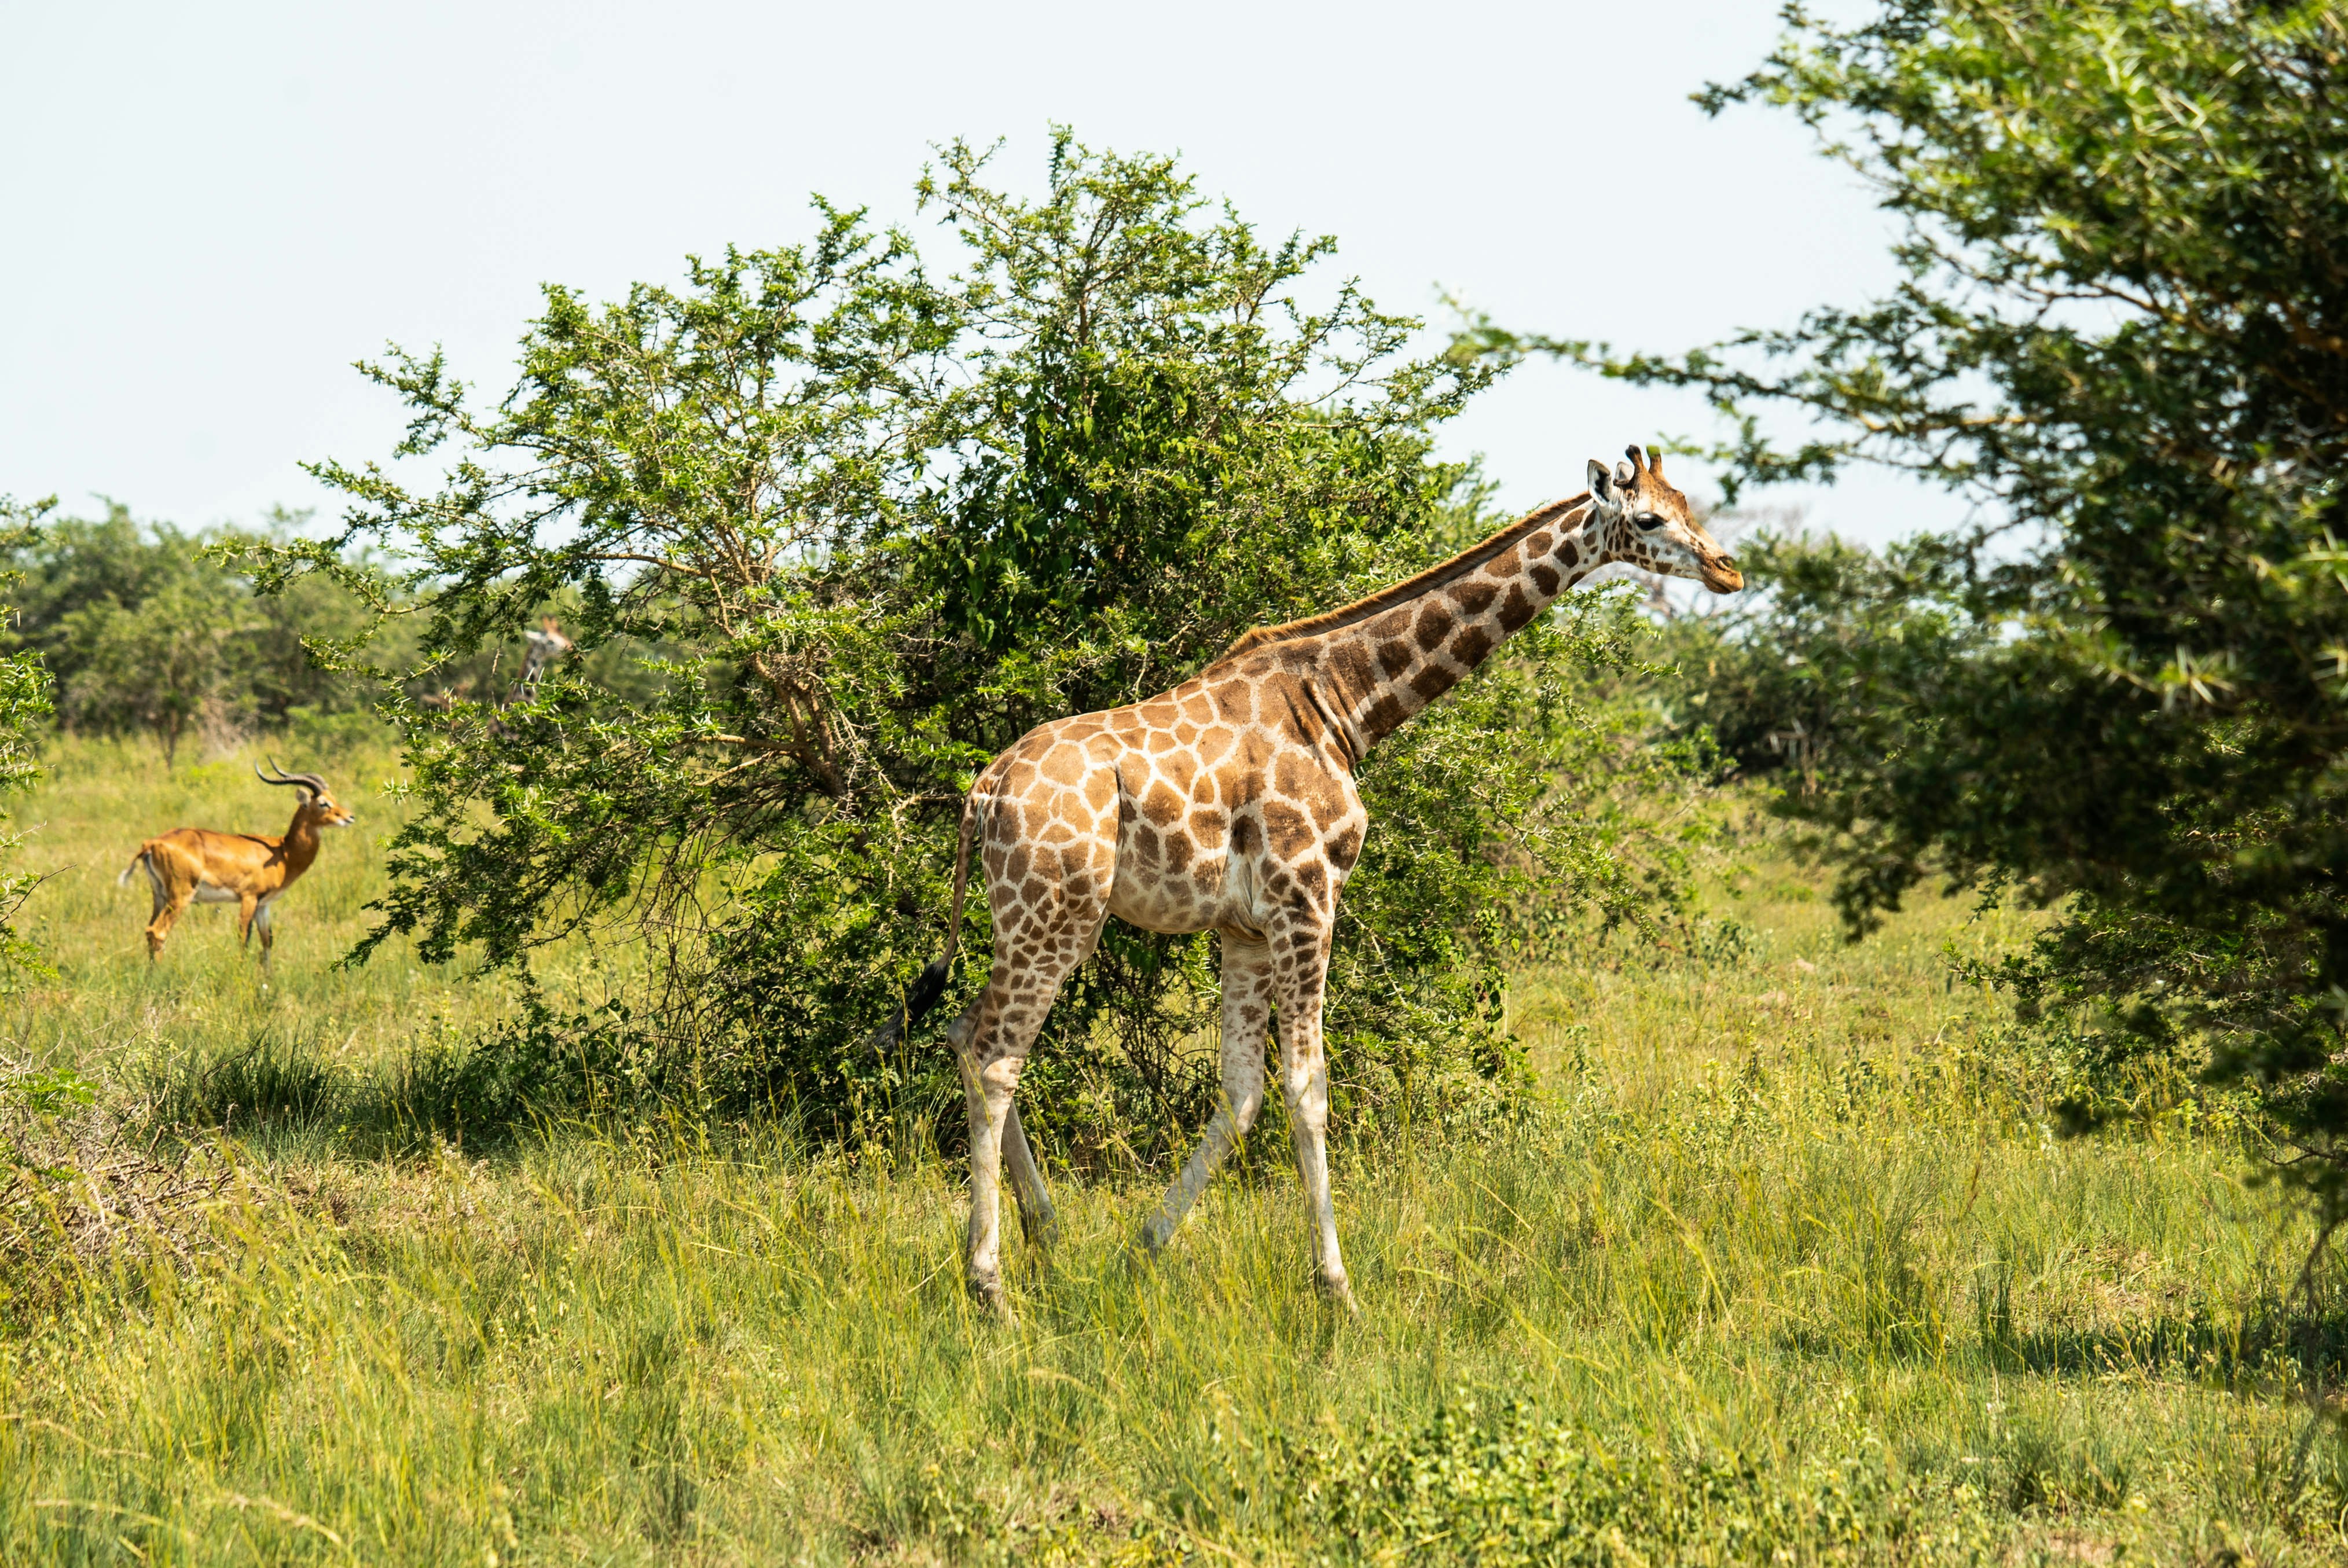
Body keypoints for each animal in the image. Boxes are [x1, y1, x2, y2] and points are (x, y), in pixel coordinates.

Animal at [118, 762, 358, 963]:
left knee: (150, 930)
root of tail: (152, 843)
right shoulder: (249, 899)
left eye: (333, 797)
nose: (350, 817)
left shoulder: (264, 905)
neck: (283, 852)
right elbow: (244, 940)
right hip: (180, 896)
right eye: (323, 803)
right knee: (158, 932)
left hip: (159, 896)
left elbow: (267, 943)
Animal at [884, 444, 1743, 1314]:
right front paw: (1339, 1290)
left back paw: (1047, 1235)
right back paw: (991, 1286)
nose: (1727, 569)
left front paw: (1144, 1249)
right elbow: (1308, 1087)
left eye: (1687, 506)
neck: (1345, 703)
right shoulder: (1308, 898)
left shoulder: (1244, 929)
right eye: (1649, 519)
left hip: (1022, 915)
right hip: (1058, 912)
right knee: (996, 1053)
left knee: (963, 1031)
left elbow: (1241, 1093)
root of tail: (983, 790)